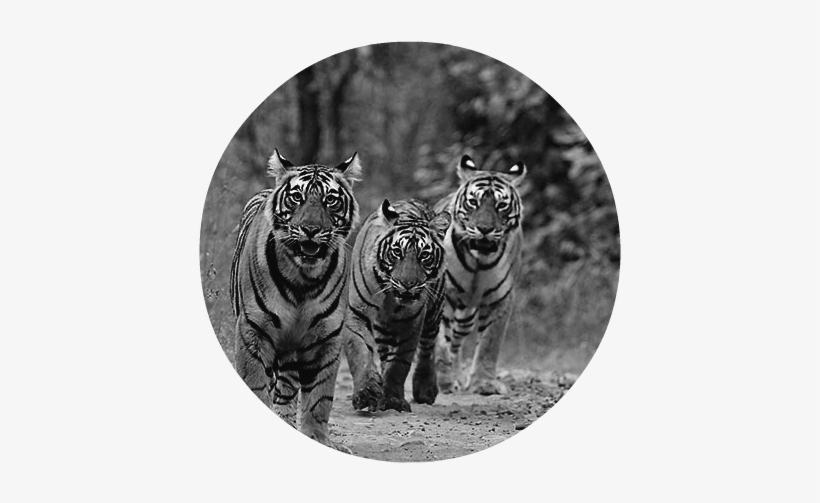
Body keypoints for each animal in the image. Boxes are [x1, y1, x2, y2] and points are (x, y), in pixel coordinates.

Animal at [229, 148, 361, 452]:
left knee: (287, 390)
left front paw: (317, 439)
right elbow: (256, 384)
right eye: (297, 197)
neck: (304, 279)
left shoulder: (326, 339)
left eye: (330, 200)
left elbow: (319, 399)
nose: (310, 229)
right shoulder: (254, 331)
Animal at [342, 199, 452, 412]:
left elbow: (400, 363)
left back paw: (425, 389)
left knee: (427, 348)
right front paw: (367, 394)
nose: (408, 283)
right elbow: (360, 352)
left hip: (434, 311)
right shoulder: (358, 313)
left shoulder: (412, 321)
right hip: (384, 327)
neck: (391, 296)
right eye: (397, 252)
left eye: (424, 255)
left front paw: (393, 400)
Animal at [434, 154, 527, 395]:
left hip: (465, 317)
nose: (484, 229)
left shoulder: (501, 299)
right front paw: (441, 380)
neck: (478, 262)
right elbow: (439, 344)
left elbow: (489, 343)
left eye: (501, 205)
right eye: (473, 202)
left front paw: (484, 384)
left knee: (456, 343)